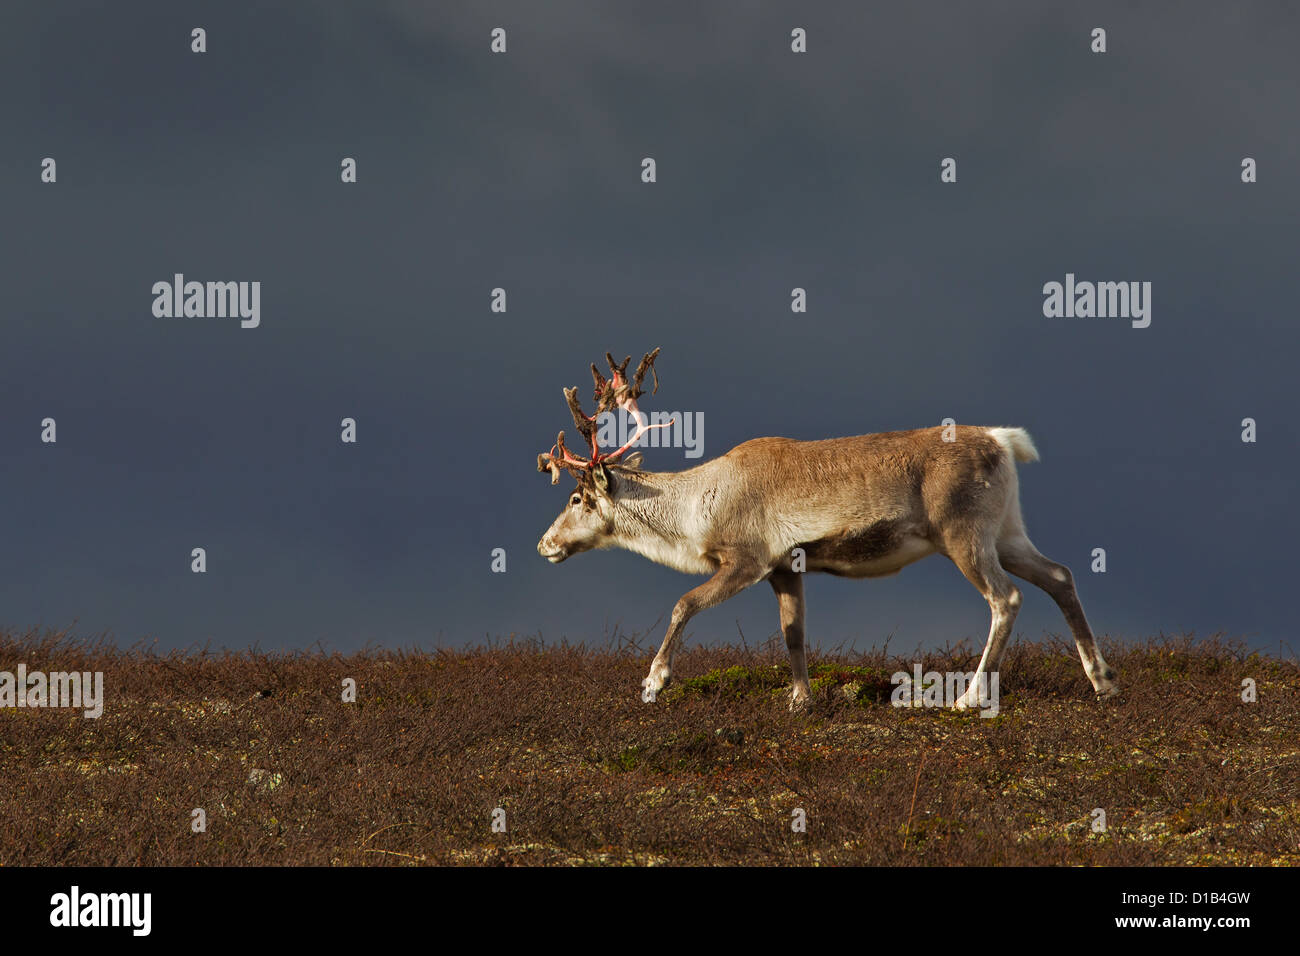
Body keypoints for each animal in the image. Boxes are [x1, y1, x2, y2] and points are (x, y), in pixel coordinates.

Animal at [536, 348, 1119, 710]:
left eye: (576, 497)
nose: (545, 544)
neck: (697, 505)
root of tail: (1003, 440)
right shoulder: (784, 569)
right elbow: (794, 634)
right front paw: (802, 701)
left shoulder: (745, 559)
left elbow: (684, 604)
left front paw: (654, 682)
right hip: (1007, 532)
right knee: (1060, 575)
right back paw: (1103, 681)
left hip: (964, 536)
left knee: (1007, 597)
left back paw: (971, 696)